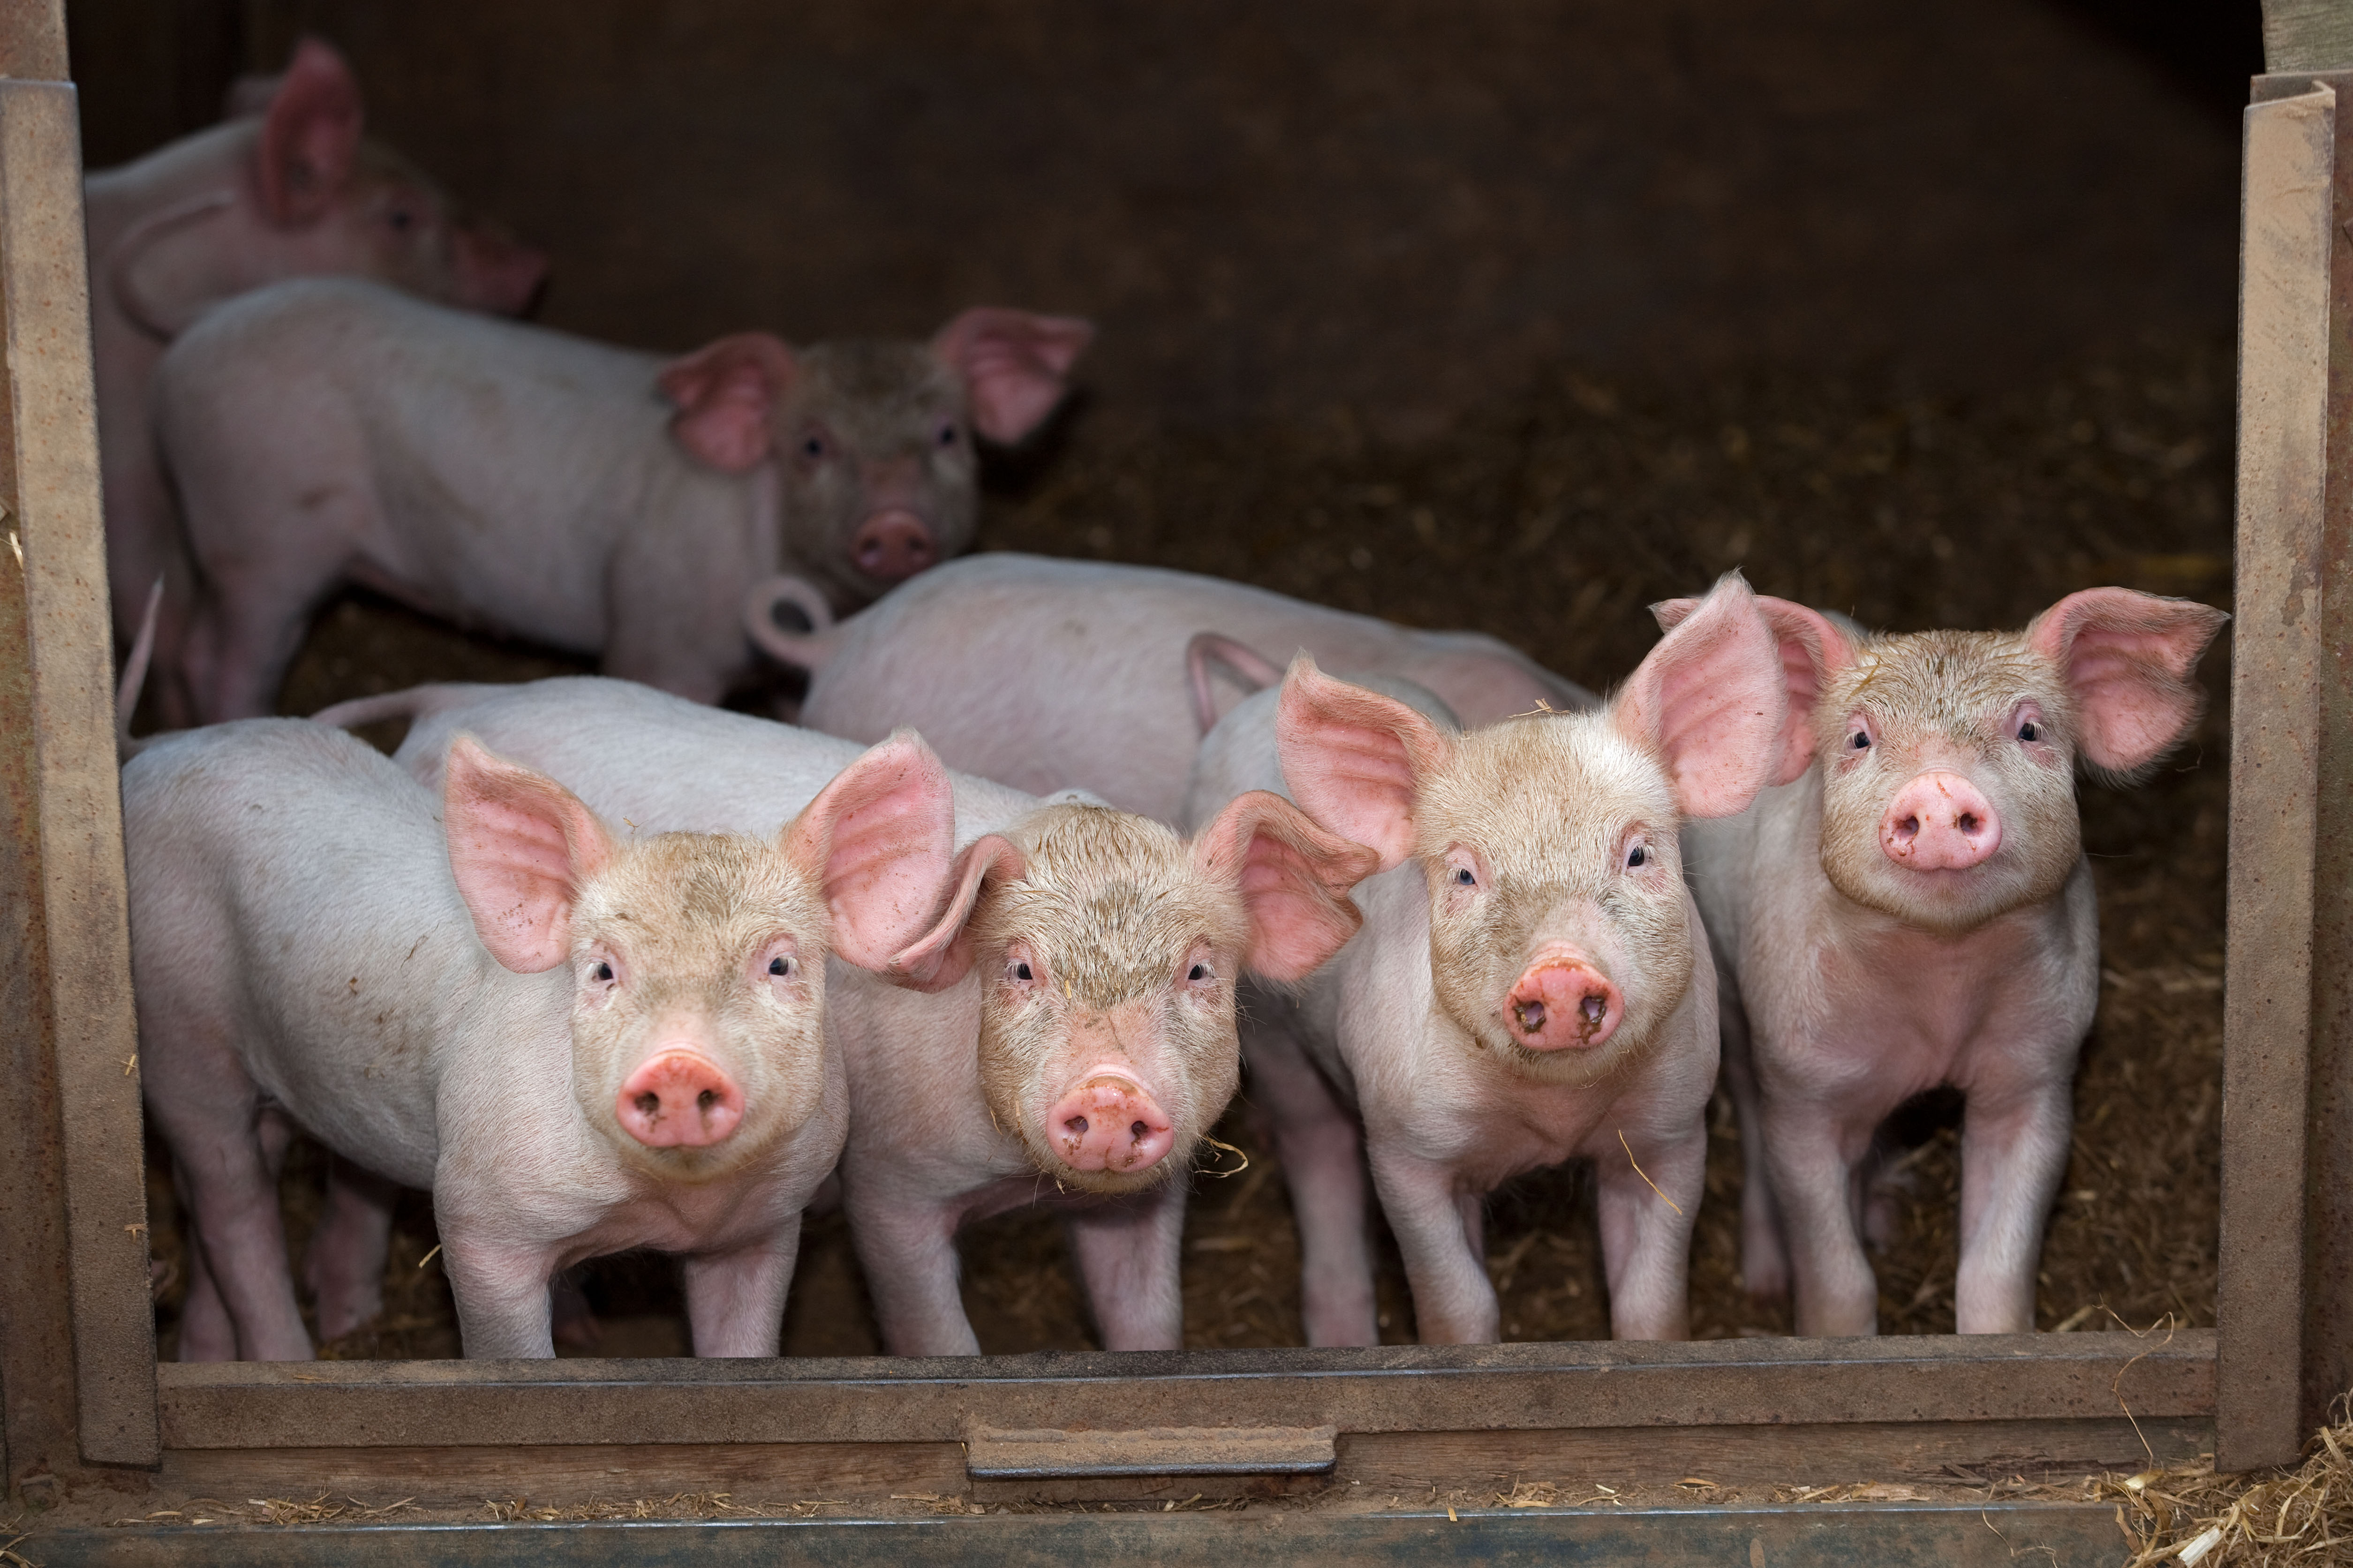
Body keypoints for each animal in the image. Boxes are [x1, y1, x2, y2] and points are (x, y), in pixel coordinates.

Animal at [126, 716, 954, 1358]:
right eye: (602, 969)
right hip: (177, 1037)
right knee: (233, 1208)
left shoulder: (764, 1228)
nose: (679, 1064)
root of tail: (160, 750)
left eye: (780, 963)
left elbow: (742, 1345)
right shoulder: (478, 1219)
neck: (664, 1206)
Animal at [154, 279, 1090, 724]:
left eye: (947, 435)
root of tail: (200, 329)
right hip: (263, 533)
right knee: (222, 651)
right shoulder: (654, 626)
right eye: (812, 447)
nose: (894, 523)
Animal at [308, 675, 1377, 1355]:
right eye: (1019, 967)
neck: (1017, 1180)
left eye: (1198, 970)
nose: (1111, 1091)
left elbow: (1146, 1325)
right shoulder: (888, 1180)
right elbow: (932, 1333)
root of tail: (455, 707)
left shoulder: (1141, 1199)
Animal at [1180, 575, 1789, 1344]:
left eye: (1636, 853)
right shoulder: (1406, 1149)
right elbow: (1457, 1301)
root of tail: (1250, 698)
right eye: (1466, 874)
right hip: (1275, 1032)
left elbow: (1649, 1302)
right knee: (1316, 1152)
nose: (1558, 970)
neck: (1551, 1119)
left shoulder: (1672, 1129)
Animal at [1656, 588, 2227, 1337]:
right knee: (1748, 1116)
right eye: (1859, 738)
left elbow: (1992, 1269)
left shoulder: (2037, 1074)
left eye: (2030, 730)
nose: (1937, 787)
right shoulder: (1803, 1086)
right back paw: (1762, 1285)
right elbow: (1838, 1276)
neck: (1940, 988)